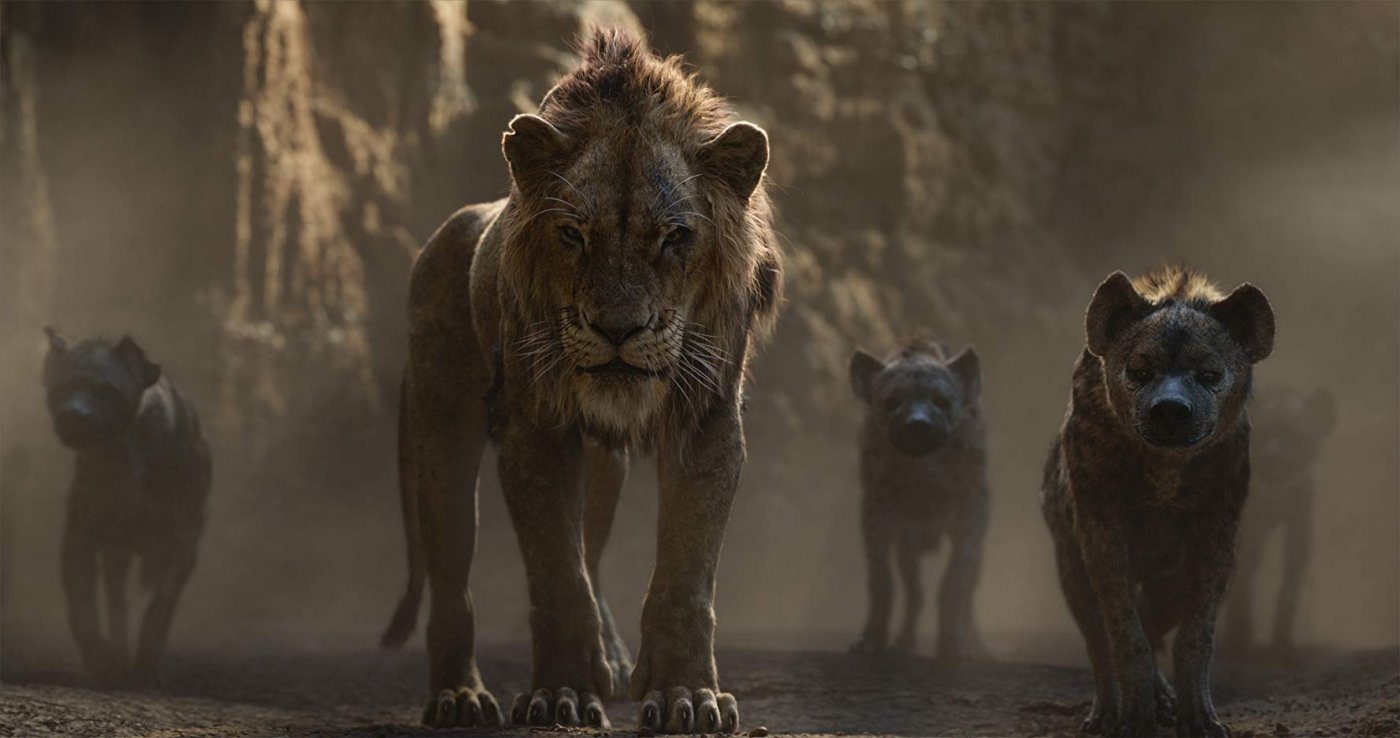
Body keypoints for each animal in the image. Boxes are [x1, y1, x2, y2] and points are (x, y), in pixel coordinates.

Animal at [380, 28, 782, 734]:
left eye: (675, 237)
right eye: (572, 234)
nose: (619, 328)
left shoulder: (706, 421)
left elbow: (684, 577)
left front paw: (684, 696)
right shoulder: (536, 430)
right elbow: (557, 576)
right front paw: (561, 695)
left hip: (603, 467)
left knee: (592, 550)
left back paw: (614, 660)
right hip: (442, 434)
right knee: (453, 574)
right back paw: (459, 697)